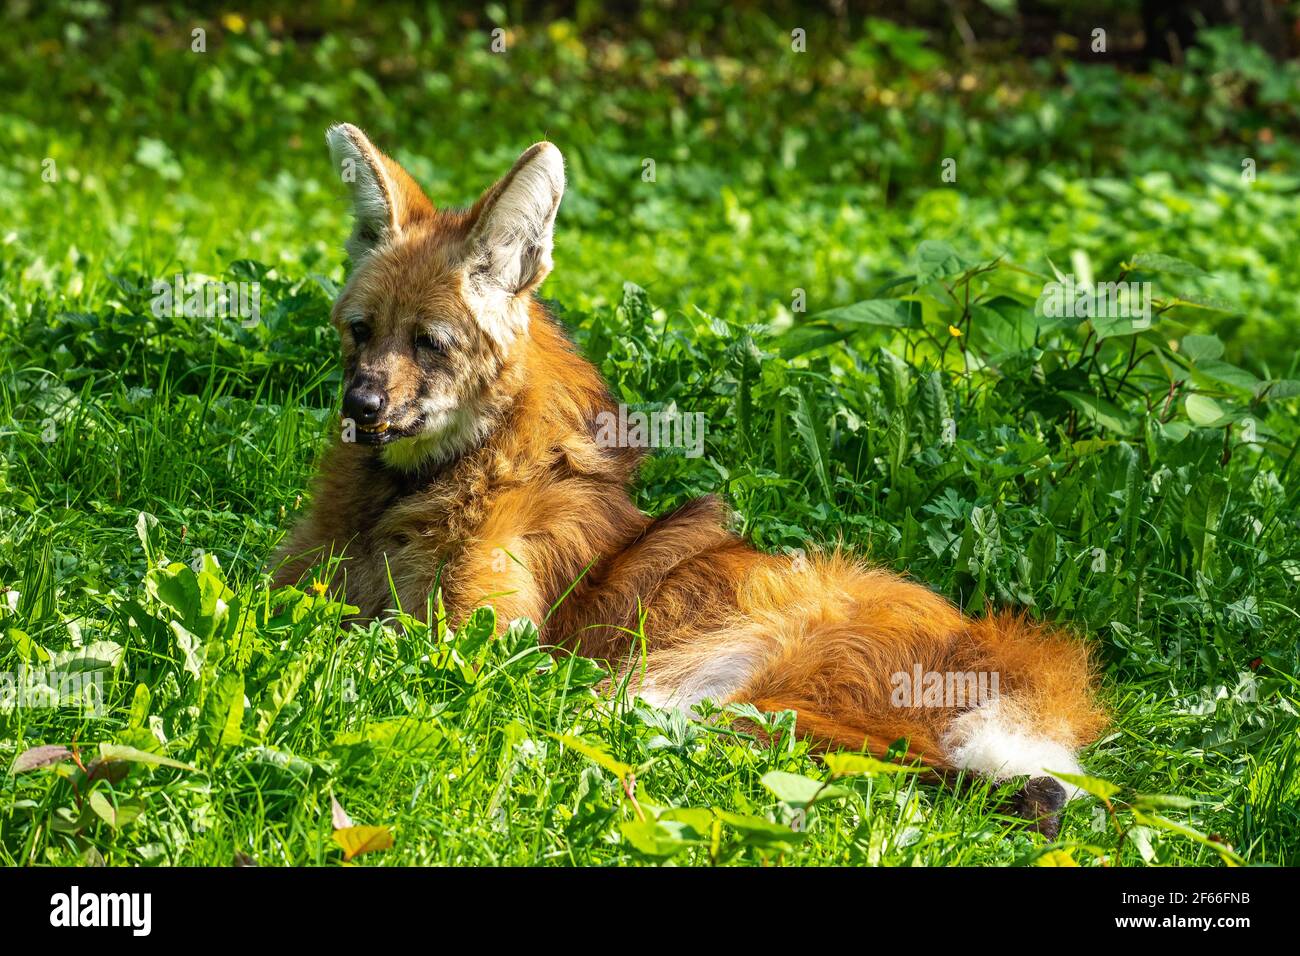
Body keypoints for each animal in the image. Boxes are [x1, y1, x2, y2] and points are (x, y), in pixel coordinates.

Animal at [273, 123, 1106, 833]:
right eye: (360, 332)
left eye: (431, 342)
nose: (360, 405)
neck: (404, 494)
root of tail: (1006, 647)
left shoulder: (486, 646)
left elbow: (379, 646)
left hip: (738, 690)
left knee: (965, 775)